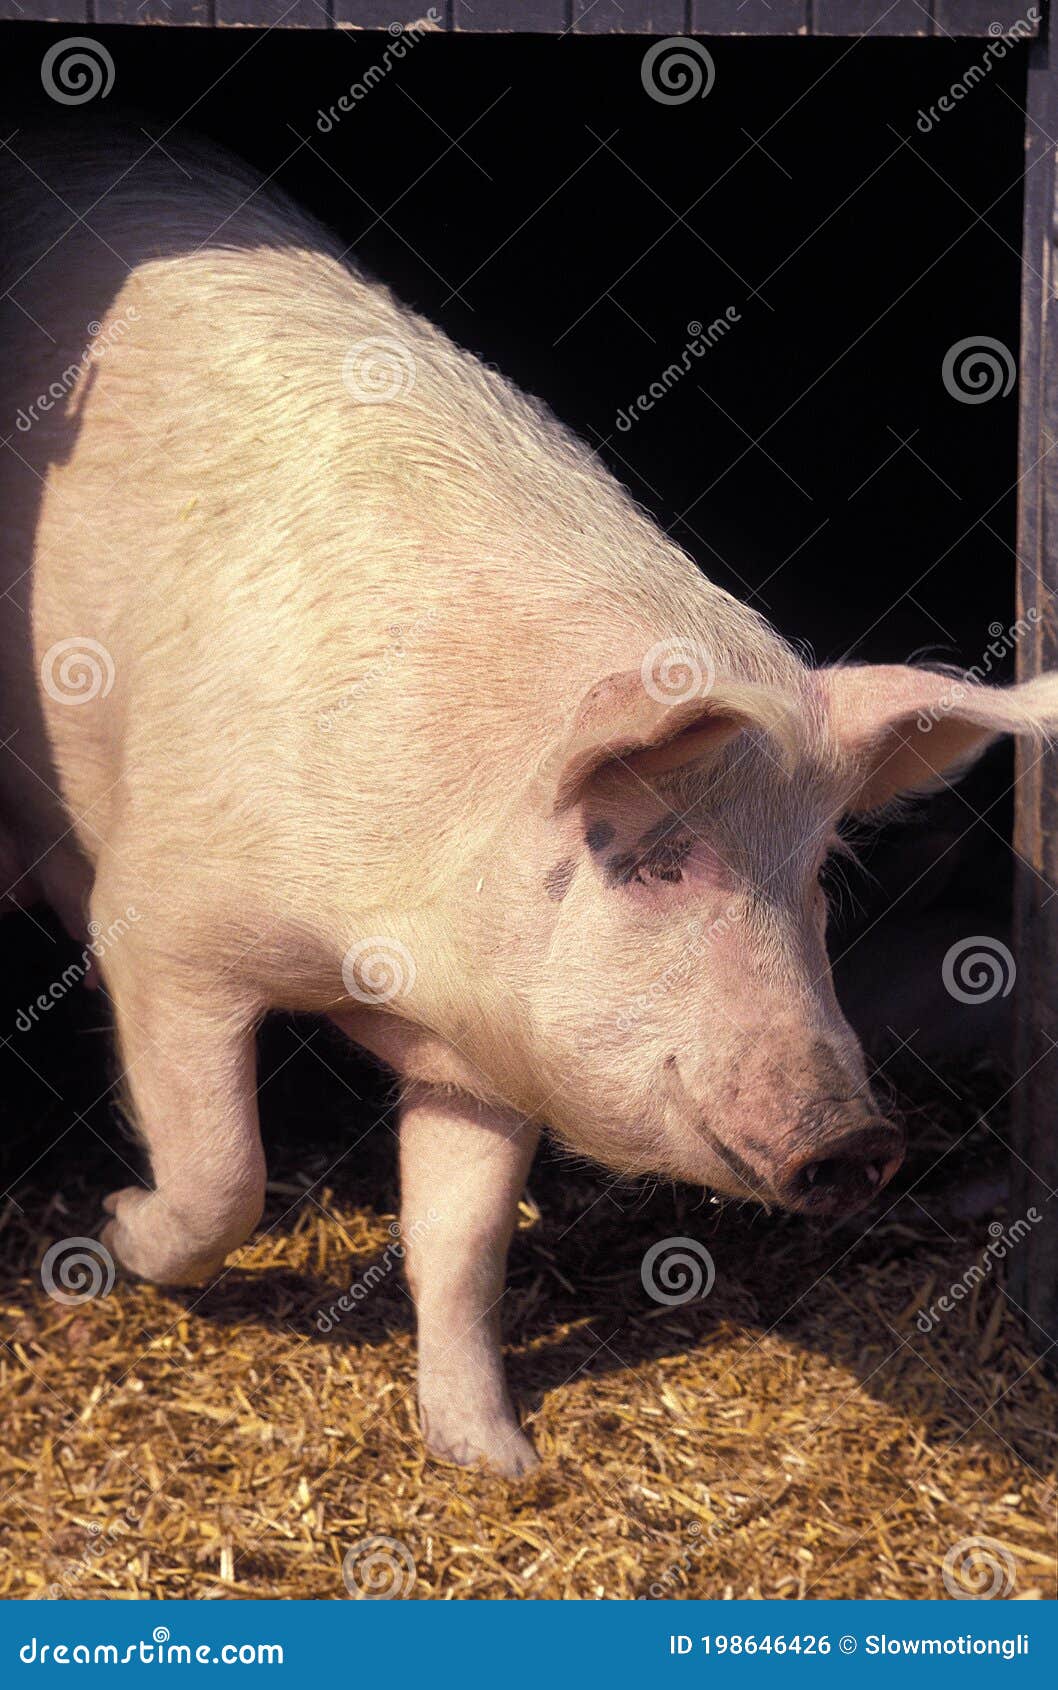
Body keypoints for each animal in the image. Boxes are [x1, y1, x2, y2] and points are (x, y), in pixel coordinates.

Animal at [1, 122, 1055, 1476]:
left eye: (817, 875)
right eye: (652, 857)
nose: (857, 1136)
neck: (381, 952)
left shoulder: (484, 1048)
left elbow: (460, 1243)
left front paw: (494, 1459)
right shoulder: (160, 922)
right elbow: (222, 1168)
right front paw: (118, 1226)